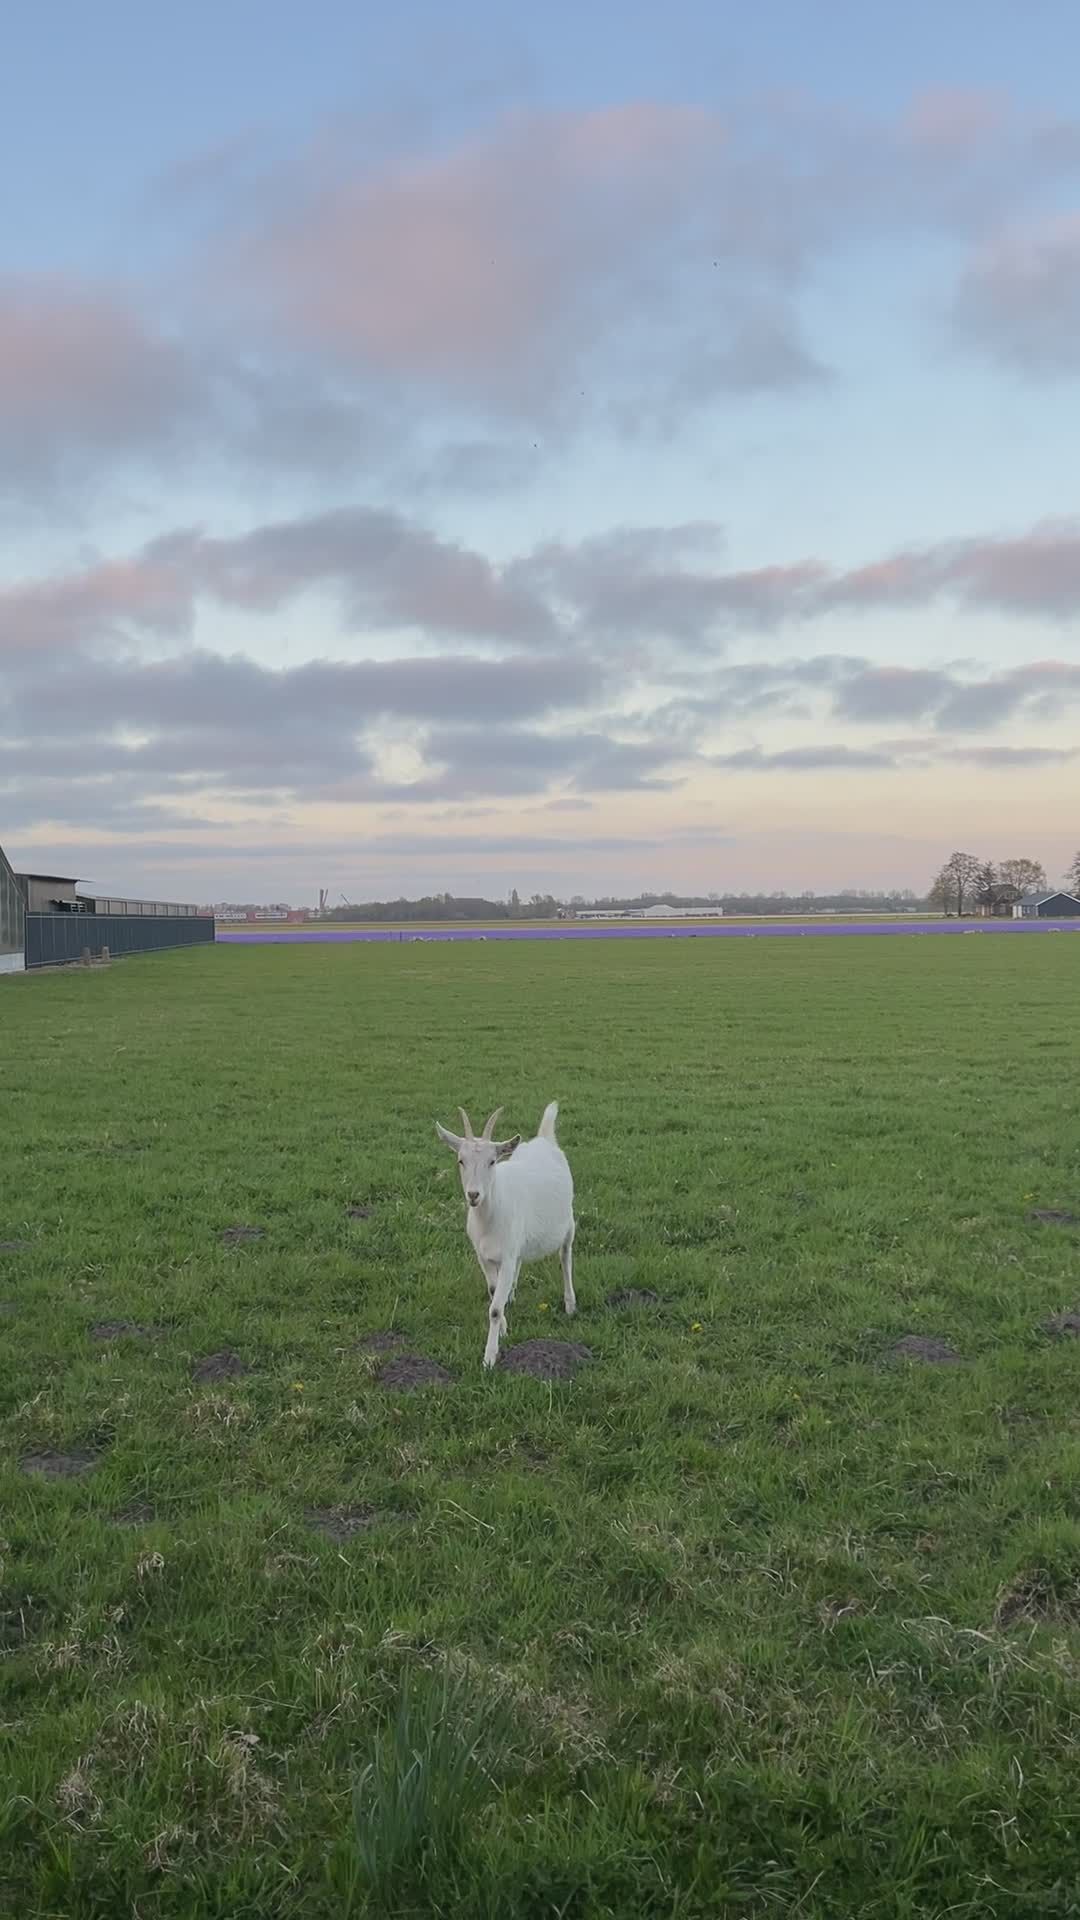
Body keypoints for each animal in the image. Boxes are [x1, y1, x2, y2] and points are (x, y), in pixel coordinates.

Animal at [434, 1102, 576, 1368]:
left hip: (568, 1224)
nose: (473, 1195)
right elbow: (493, 1295)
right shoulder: (484, 1257)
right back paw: (511, 1294)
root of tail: (544, 1139)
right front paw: (503, 1328)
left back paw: (570, 1304)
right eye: (460, 1160)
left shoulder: (507, 1258)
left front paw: (489, 1358)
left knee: (565, 1258)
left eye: (492, 1161)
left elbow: (494, 1309)